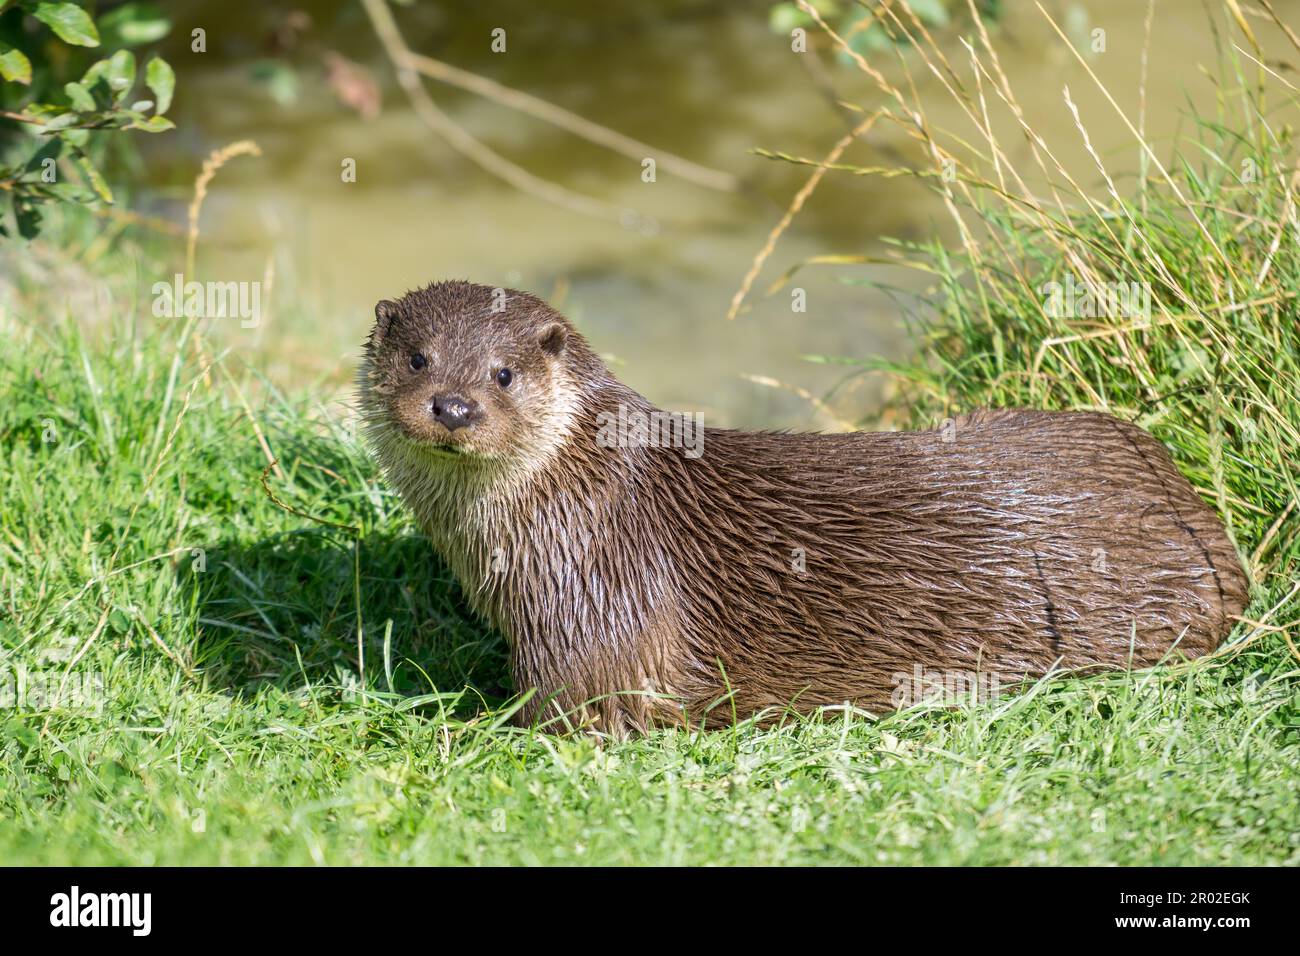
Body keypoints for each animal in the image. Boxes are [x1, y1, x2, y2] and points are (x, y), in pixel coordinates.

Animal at [358, 280, 1248, 735]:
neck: (580, 494)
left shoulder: (601, 608)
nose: (453, 406)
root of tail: (1200, 520)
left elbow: (576, 712)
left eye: (503, 373)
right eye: (418, 358)